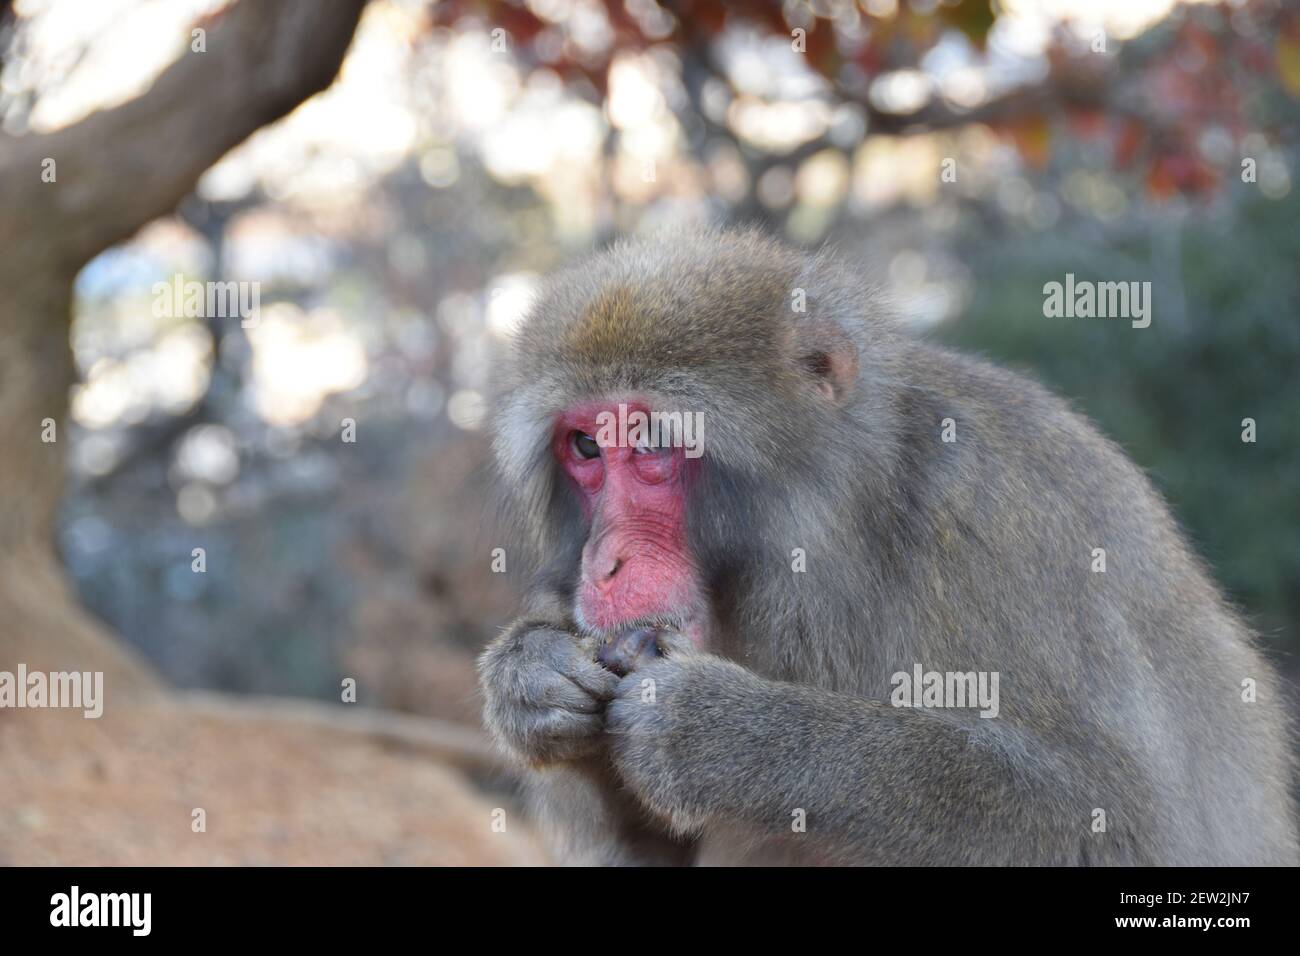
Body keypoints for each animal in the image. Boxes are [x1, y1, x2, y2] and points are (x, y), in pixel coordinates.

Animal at [477, 227, 1297, 866]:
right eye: (586, 445)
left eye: (648, 442)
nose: (603, 561)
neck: (839, 538)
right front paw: (531, 674)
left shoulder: (996, 519)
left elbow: (1123, 828)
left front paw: (721, 735)